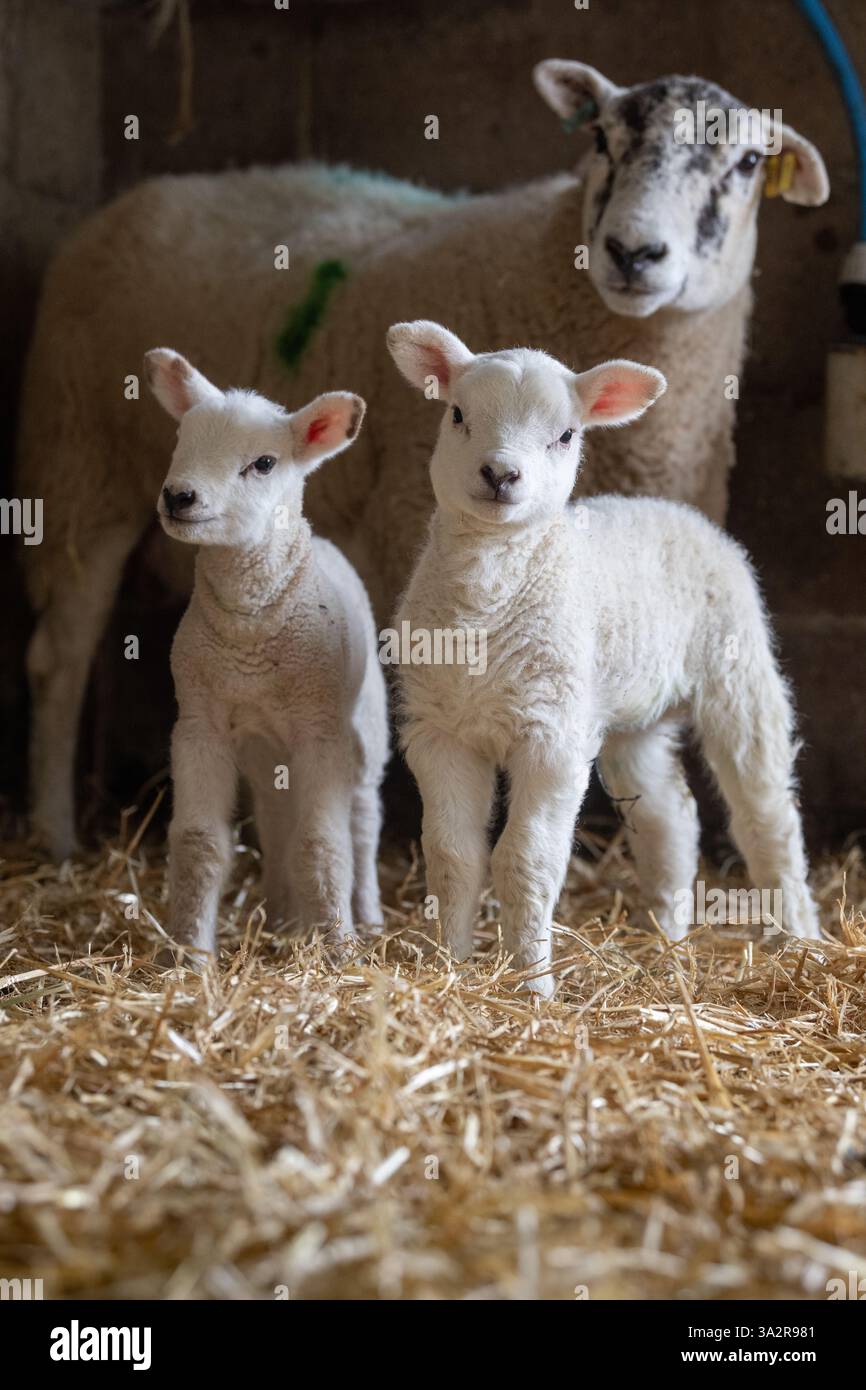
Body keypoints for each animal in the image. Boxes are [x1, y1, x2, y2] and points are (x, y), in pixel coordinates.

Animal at [17, 60, 829, 858]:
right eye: (601, 136)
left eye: (749, 162)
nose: (633, 252)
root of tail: (140, 196)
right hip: (82, 466)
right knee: (59, 658)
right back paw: (54, 834)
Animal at [144, 349, 388, 958]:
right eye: (181, 438)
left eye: (263, 463)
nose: (179, 497)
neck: (248, 633)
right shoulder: (199, 722)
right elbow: (200, 843)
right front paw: (188, 955)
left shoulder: (320, 729)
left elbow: (323, 843)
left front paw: (339, 950)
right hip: (264, 750)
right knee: (278, 820)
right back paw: (282, 918)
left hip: (364, 728)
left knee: (362, 820)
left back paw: (368, 918)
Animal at [387, 319, 820, 997]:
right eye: (457, 413)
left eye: (565, 434)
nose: (500, 472)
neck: (487, 598)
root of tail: (675, 509)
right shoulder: (440, 732)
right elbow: (454, 857)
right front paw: (448, 969)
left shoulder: (553, 736)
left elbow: (526, 860)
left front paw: (531, 985)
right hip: (633, 718)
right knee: (672, 817)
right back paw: (665, 938)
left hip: (739, 672)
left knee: (767, 814)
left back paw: (798, 939)